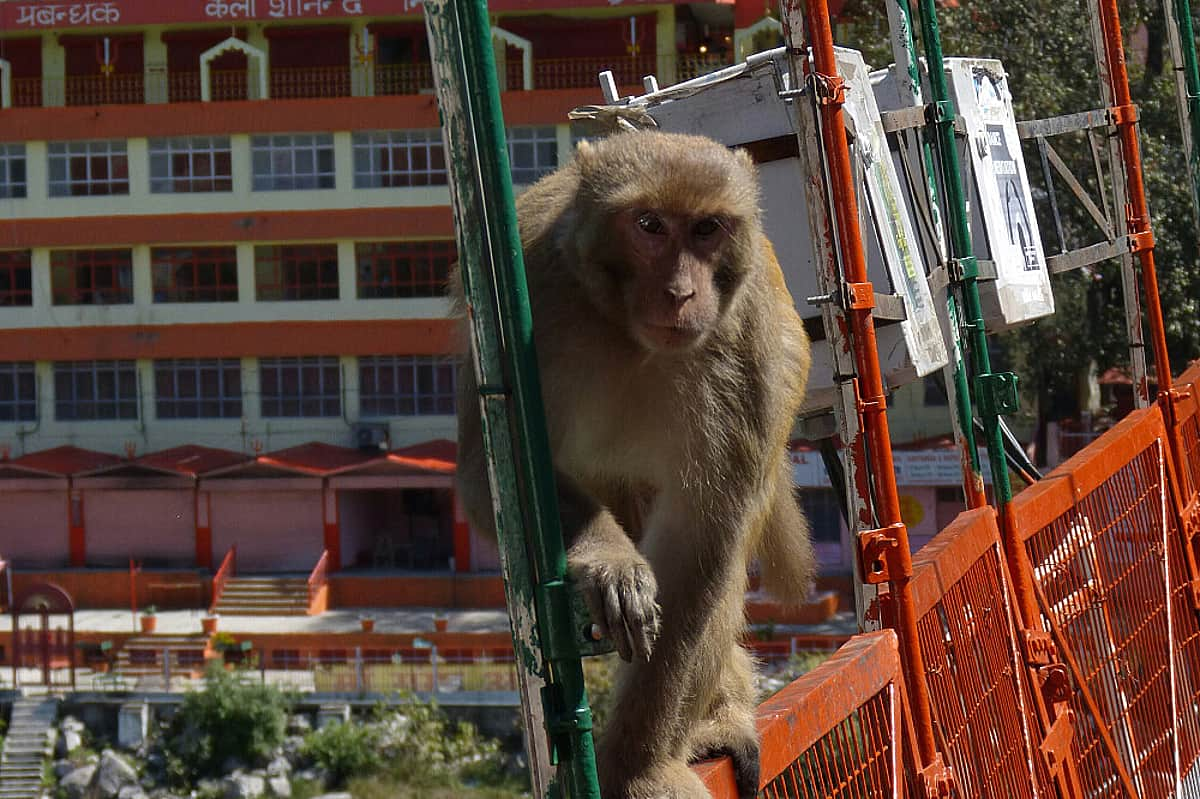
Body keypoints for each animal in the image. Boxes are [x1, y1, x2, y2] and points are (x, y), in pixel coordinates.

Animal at [456, 127, 816, 791]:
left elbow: (700, 549)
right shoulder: (529, 304)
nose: (680, 293)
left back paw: (716, 720)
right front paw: (611, 566)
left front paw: (634, 769)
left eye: (706, 229)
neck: (631, 338)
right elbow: (496, 472)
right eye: (649, 225)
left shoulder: (746, 350)